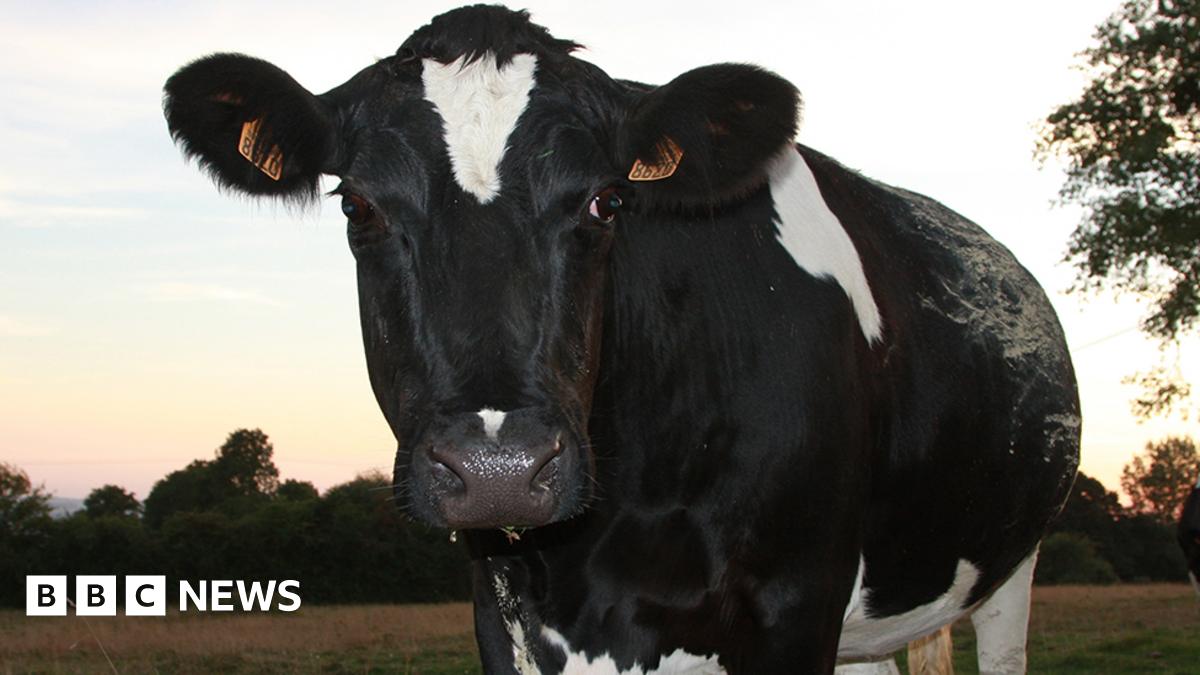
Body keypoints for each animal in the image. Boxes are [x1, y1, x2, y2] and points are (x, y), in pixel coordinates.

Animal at [163, 5, 1080, 673]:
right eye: (358, 205)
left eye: (607, 200)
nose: (499, 468)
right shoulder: (501, 604)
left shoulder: (798, 596)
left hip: (1014, 563)